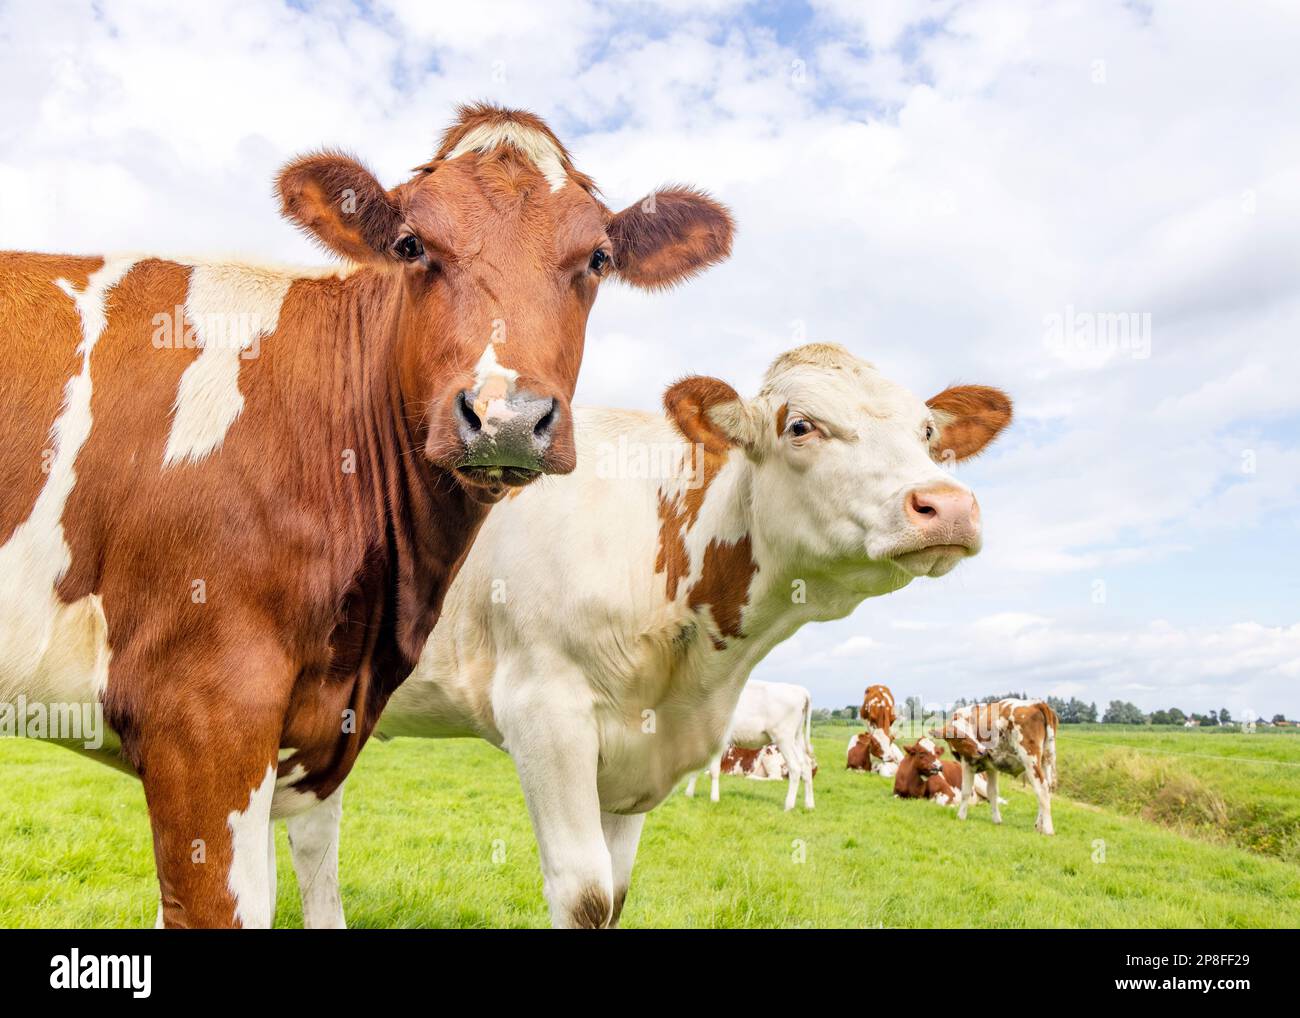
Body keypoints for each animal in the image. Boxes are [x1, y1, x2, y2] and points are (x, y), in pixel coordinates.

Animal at [684, 680, 818, 810]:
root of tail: (801, 690)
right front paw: (689, 794)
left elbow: (714, 770)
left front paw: (714, 799)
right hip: (797, 738)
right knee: (806, 766)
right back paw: (809, 805)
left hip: (783, 738)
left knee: (794, 768)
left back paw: (788, 805)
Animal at [931, 700, 1058, 834]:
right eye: (961, 739)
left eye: (972, 733)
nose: (982, 750)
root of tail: (1037, 703)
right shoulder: (991, 765)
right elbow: (992, 792)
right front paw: (997, 820)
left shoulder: (967, 762)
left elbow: (966, 791)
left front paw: (961, 816)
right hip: (1046, 760)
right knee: (1047, 788)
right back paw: (1039, 825)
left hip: (1030, 760)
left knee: (1042, 789)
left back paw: (1048, 829)